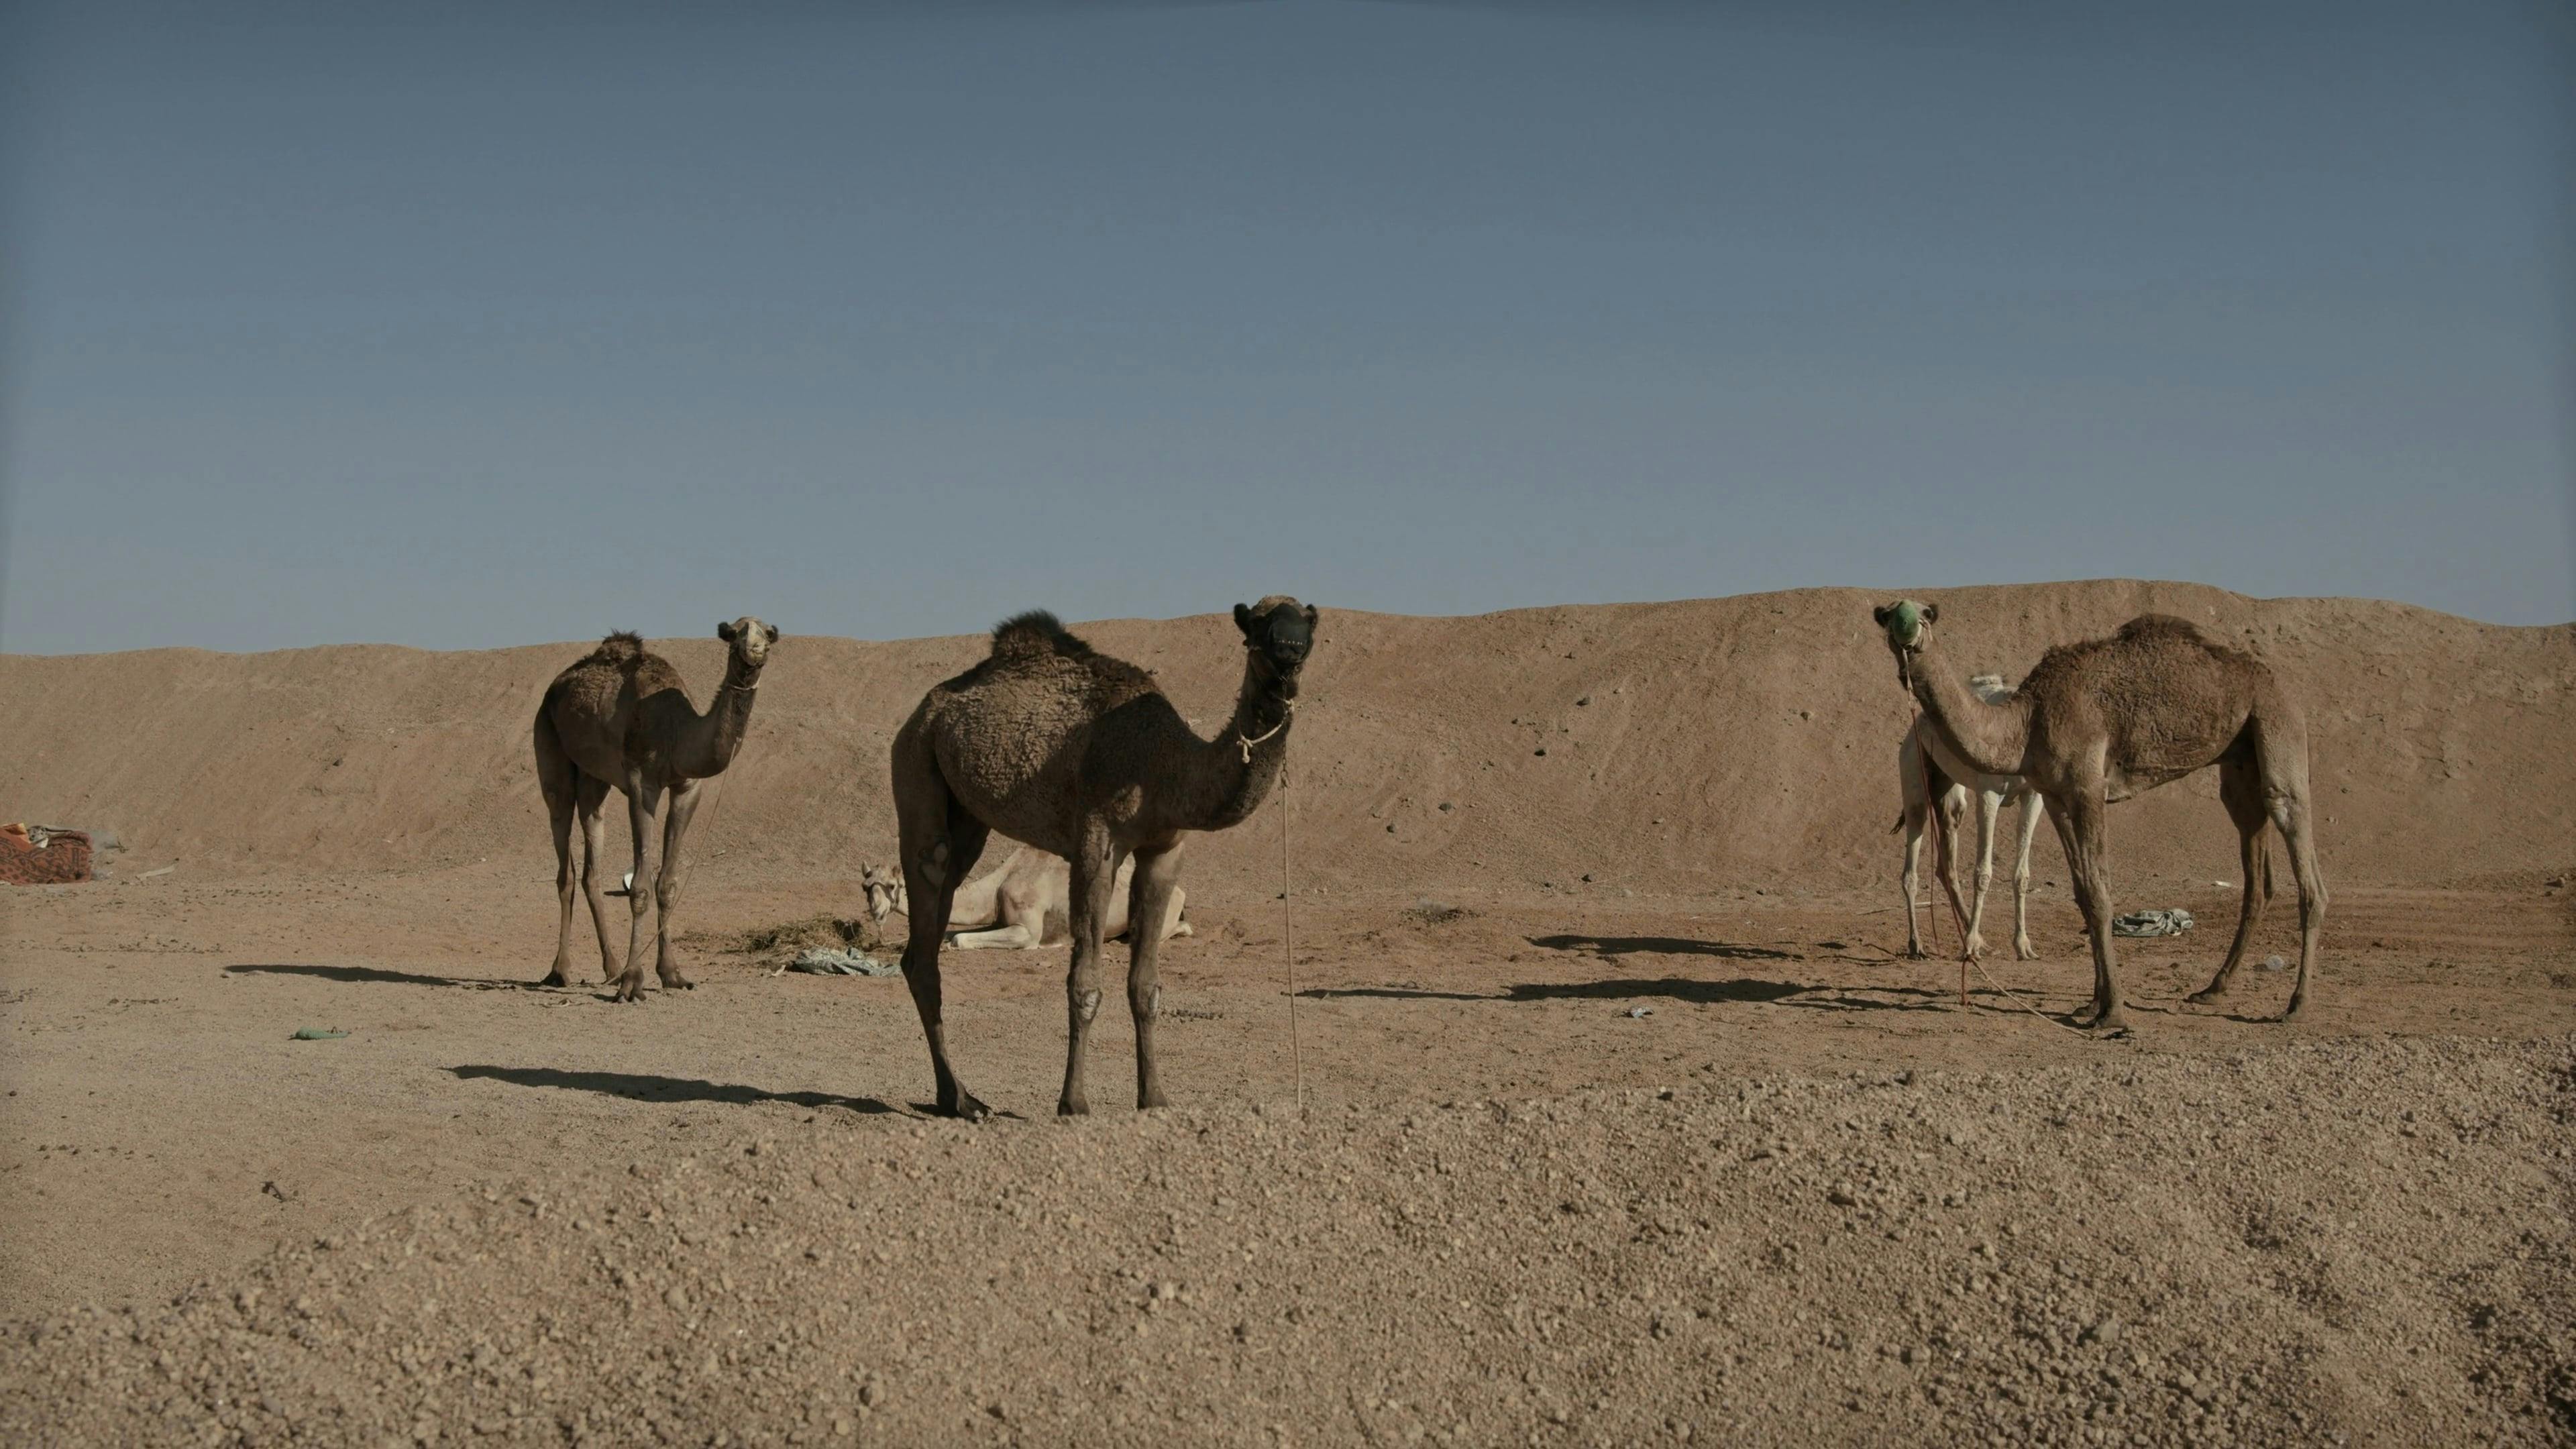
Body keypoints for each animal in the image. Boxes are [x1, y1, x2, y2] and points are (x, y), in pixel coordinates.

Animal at [533, 620, 778, 1002]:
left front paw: (672, 974)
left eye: (768, 633)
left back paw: (611, 969)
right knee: (565, 861)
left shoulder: (687, 788)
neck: (677, 729)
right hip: (548, 742)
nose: (754, 650)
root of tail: (554, 689)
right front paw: (634, 982)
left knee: (592, 858)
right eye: (736, 632)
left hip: (594, 780)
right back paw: (561, 971)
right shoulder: (641, 786)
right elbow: (641, 888)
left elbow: (667, 884)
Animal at [855, 845, 1193, 950]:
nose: (877, 912)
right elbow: (952, 933)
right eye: (865, 886)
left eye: (892, 886)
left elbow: (959, 939)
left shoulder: (1027, 930)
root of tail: (1180, 891)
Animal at [889, 598, 1315, 1118]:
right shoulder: (1096, 841)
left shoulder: (1164, 850)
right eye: (1258, 625)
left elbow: (1146, 986)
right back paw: (963, 1100)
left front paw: (1154, 1098)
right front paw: (1074, 1103)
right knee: (929, 890)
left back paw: (952, 1096)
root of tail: (924, 710)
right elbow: (1085, 982)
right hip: (916, 758)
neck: (1164, 766)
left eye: (1310, 625)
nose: (1289, 648)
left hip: (967, 813)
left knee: (937, 909)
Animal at [1897, 675, 2046, 963]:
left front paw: (2024, 946)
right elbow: (1983, 872)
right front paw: (1969, 948)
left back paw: (1981, 942)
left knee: (1946, 863)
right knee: (1910, 869)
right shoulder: (1989, 792)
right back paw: (1917, 944)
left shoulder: (2033, 795)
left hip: (1951, 791)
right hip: (1914, 771)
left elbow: (2022, 874)